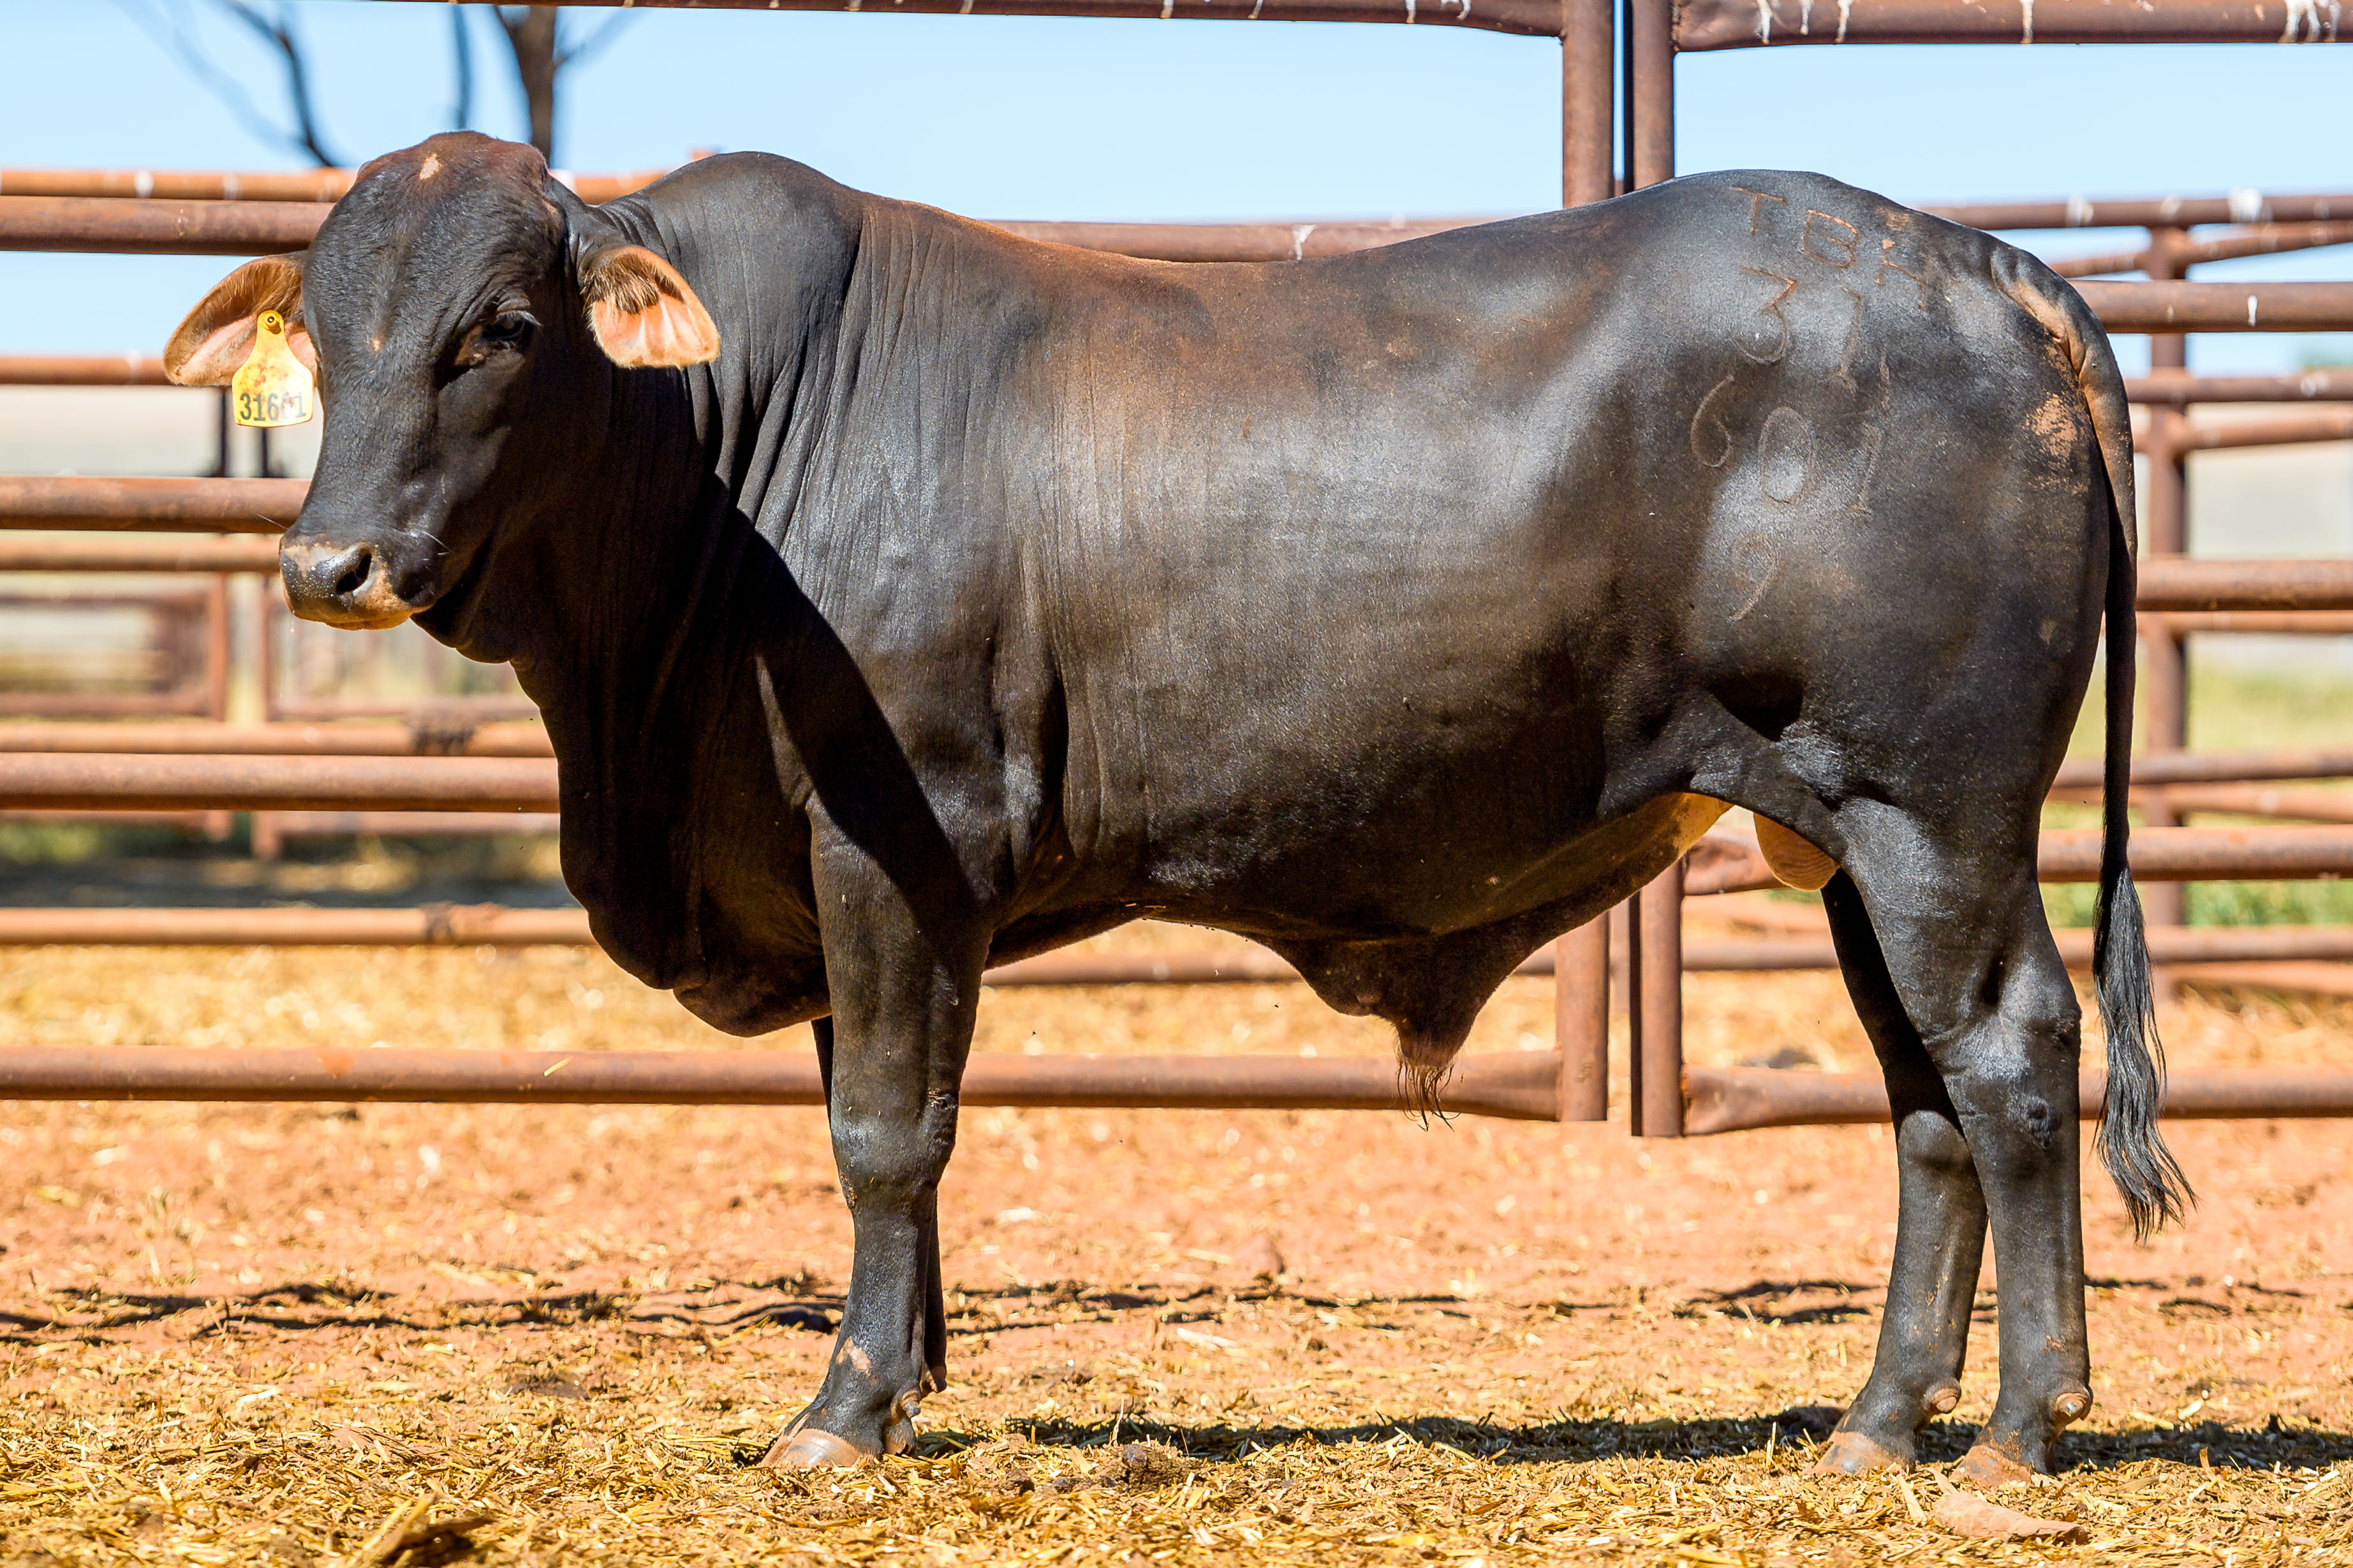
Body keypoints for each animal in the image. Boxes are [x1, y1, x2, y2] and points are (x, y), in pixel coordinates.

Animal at [166, 131, 2185, 1480]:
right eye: (324, 333)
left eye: (501, 328)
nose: (330, 565)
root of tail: (1986, 267)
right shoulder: (835, 870)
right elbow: (878, 1125)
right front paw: (913, 1371)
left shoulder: (897, 840)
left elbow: (885, 1133)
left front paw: (842, 1412)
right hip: (1839, 831)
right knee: (1923, 1103)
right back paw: (1877, 1423)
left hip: (1933, 811)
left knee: (2010, 1058)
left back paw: (2019, 1429)